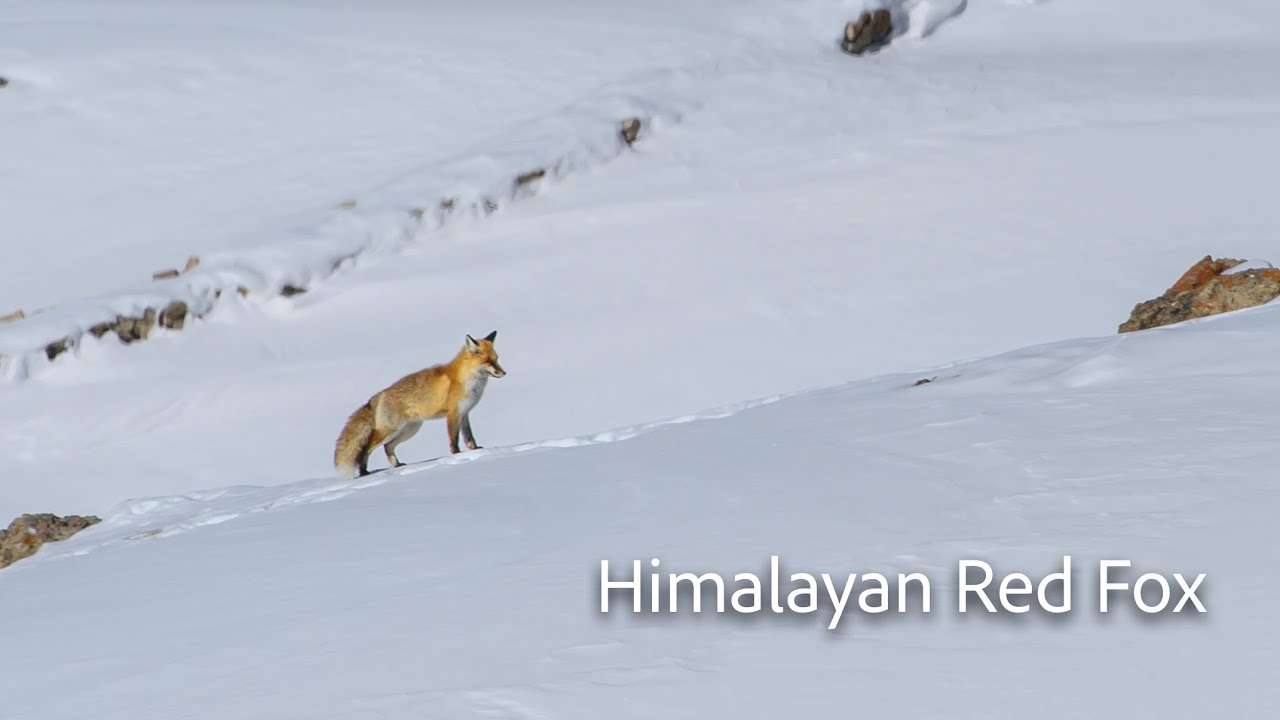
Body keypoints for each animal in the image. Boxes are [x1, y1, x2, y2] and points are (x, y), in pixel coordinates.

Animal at [333, 331, 506, 480]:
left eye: (497, 359)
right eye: (488, 361)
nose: (504, 373)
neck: (467, 380)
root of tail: (381, 394)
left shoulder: (464, 414)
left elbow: (469, 437)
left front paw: (475, 451)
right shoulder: (453, 414)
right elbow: (454, 439)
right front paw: (457, 456)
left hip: (409, 430)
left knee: (388, 447)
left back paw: (397, 465)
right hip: (390, 430)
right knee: (366, 449)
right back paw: (364, 473)